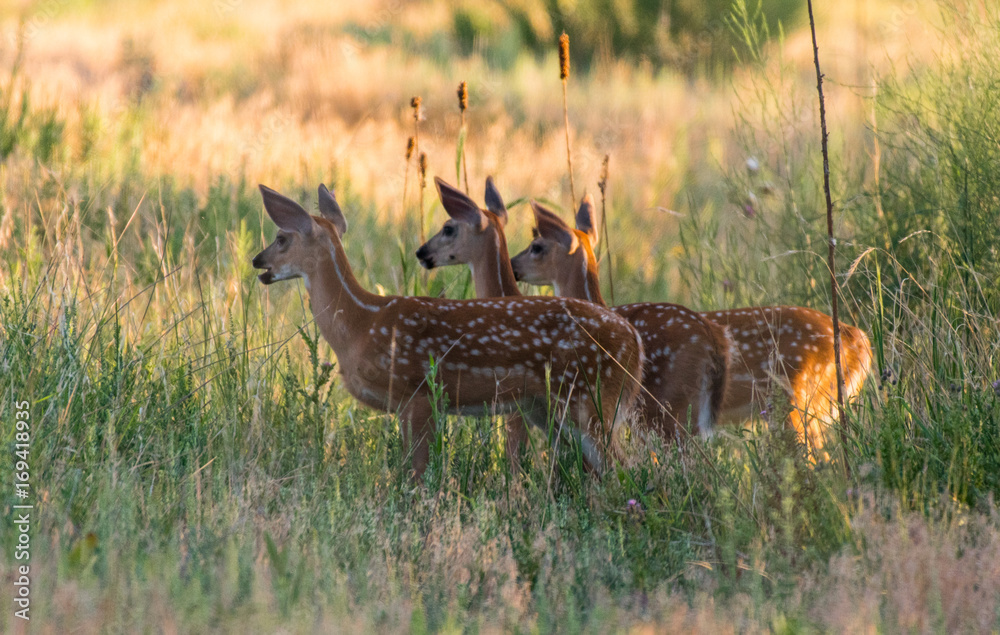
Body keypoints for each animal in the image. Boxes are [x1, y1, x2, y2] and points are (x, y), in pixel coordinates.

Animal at [251, 183, 645, 478]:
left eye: (281, 237)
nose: (257, 261)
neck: (362, 323)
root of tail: (633, 342)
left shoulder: (418, 392)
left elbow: (416, 474)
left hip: (591, 400)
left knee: (628, 469)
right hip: (549, 408)